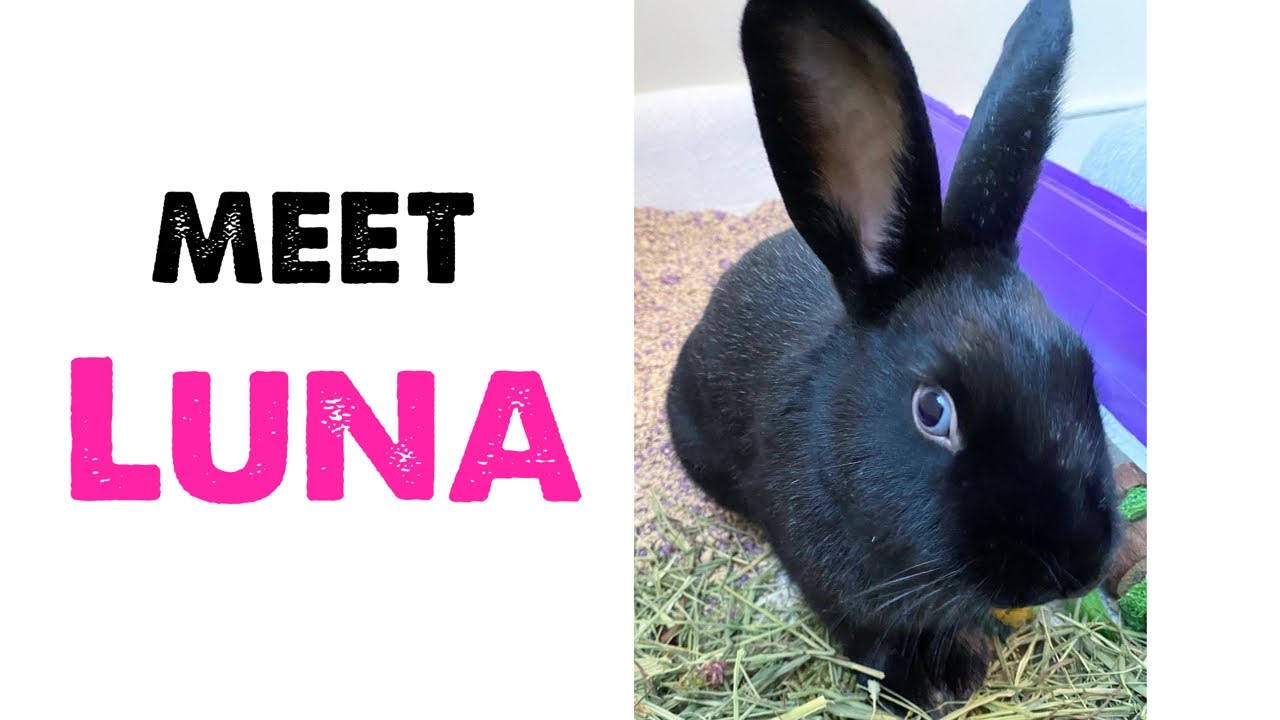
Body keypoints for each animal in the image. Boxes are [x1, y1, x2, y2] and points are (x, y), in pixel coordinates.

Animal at [665, 0, 1123, 713]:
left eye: (1083, 371)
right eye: (932, 411)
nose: (1074, 568)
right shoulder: (828, 579)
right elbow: (868, 635)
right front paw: (928, 684)